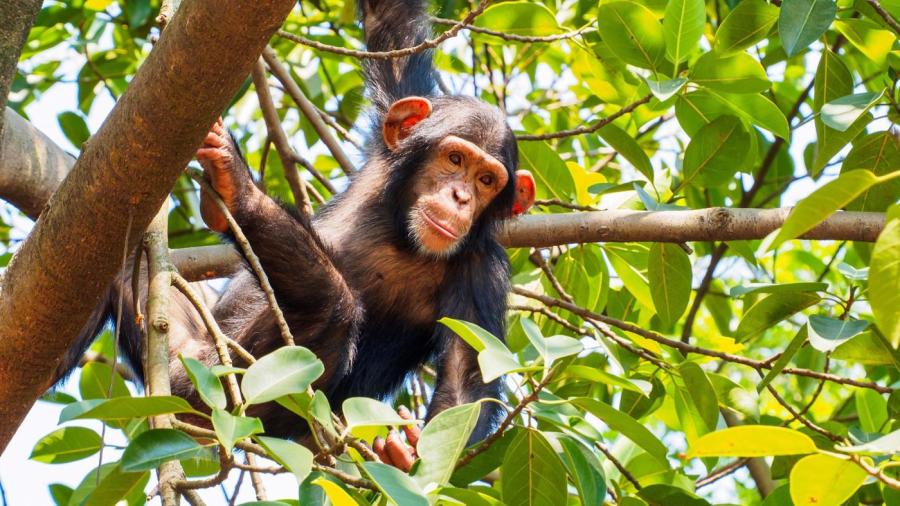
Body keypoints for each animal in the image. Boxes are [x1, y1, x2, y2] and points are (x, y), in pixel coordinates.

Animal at [55, 0, 536, 467]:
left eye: (487, 181)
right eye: (455, 159)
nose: (461, 196)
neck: (403, 239)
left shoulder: (485, 273)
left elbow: (468, 376)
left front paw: (411, 452)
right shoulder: (393, 129)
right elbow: (392, 30)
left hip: (227, 387)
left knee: (335, 308)